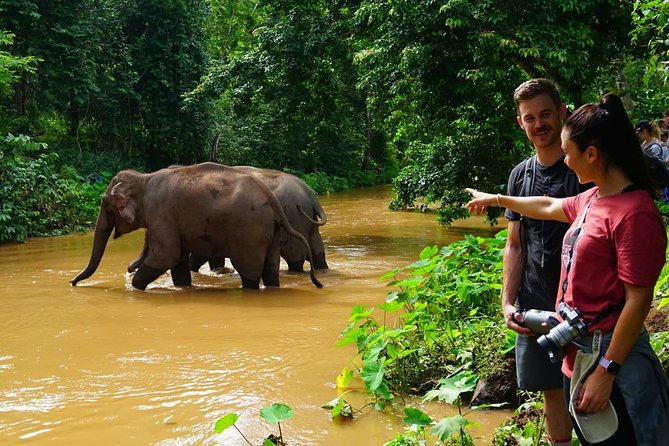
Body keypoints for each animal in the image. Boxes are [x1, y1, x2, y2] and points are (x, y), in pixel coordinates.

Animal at [71, 162, 323, 290]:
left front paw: (134, 288)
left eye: (105, 204)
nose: (72, 283)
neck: (143, 178)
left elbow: (166, 256)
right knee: (271, 270)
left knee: (250, 272)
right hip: (272, 231)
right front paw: (183, 288)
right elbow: (178, 262)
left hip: (249, 232)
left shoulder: (160, 212)